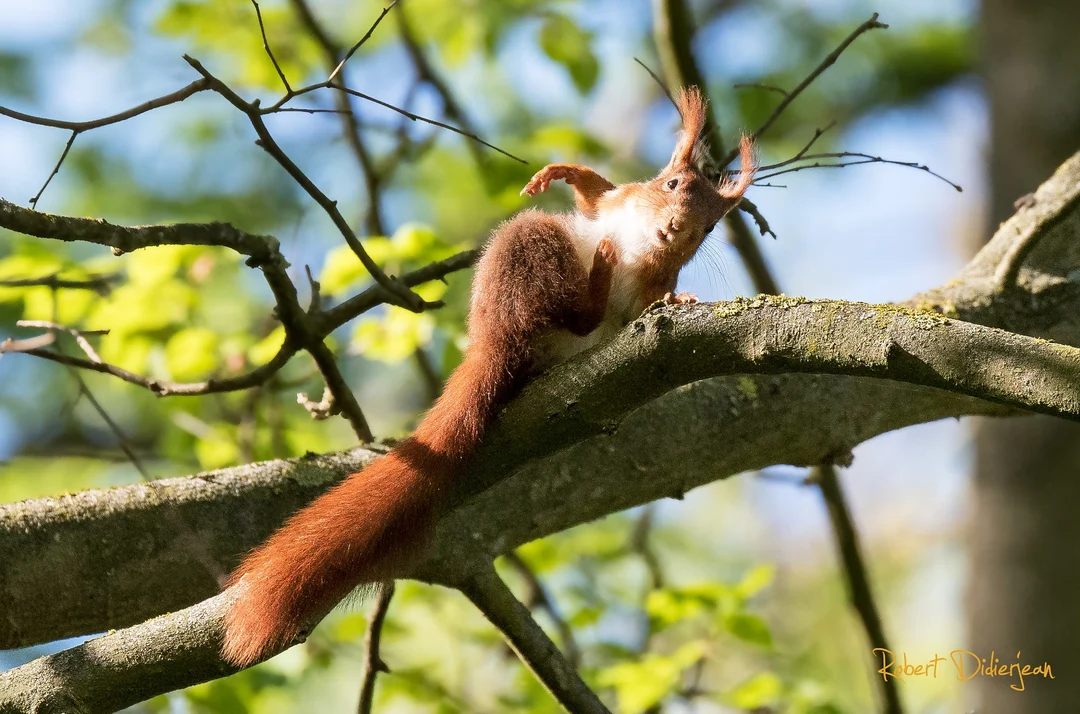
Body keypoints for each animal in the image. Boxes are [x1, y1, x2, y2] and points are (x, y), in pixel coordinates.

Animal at [221, 86, 755, 667]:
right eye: (672, 184)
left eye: (710, 228)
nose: (679, 228)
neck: (642, 243)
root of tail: (488, 342)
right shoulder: (618, 203)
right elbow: (596, 199)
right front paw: (565, 174)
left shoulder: (649, 286)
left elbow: (648, 302)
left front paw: (678, 299)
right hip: (530, 244)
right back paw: (599, 265)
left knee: (581, 320)